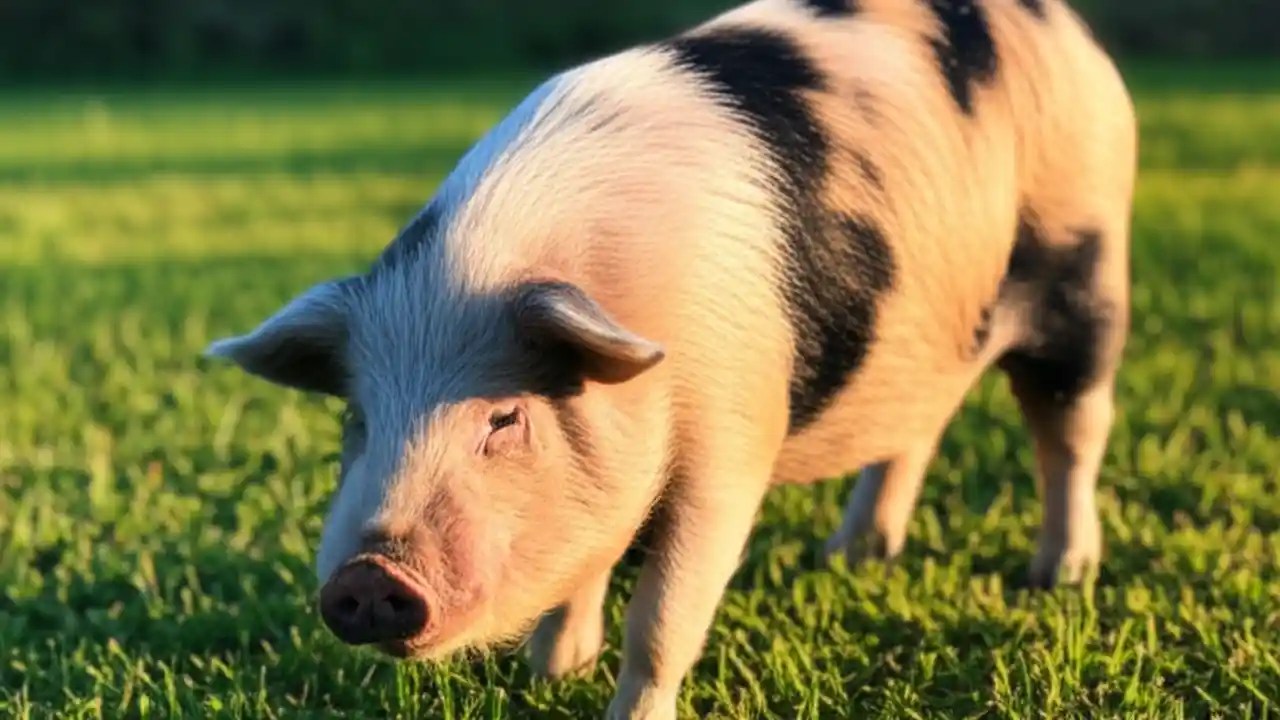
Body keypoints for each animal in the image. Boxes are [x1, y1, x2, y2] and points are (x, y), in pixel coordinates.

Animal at [203, 0, 1136, 717]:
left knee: (1074, 431)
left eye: (504, 418)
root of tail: (1067, 30)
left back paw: (1059, 577)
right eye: (358, 420)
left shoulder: (731, 442)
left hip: (1087, 261)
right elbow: (586, 569)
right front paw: (551, 674)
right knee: (915, 431)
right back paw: (850, 558)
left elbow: (662, 618)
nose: (366, 575)